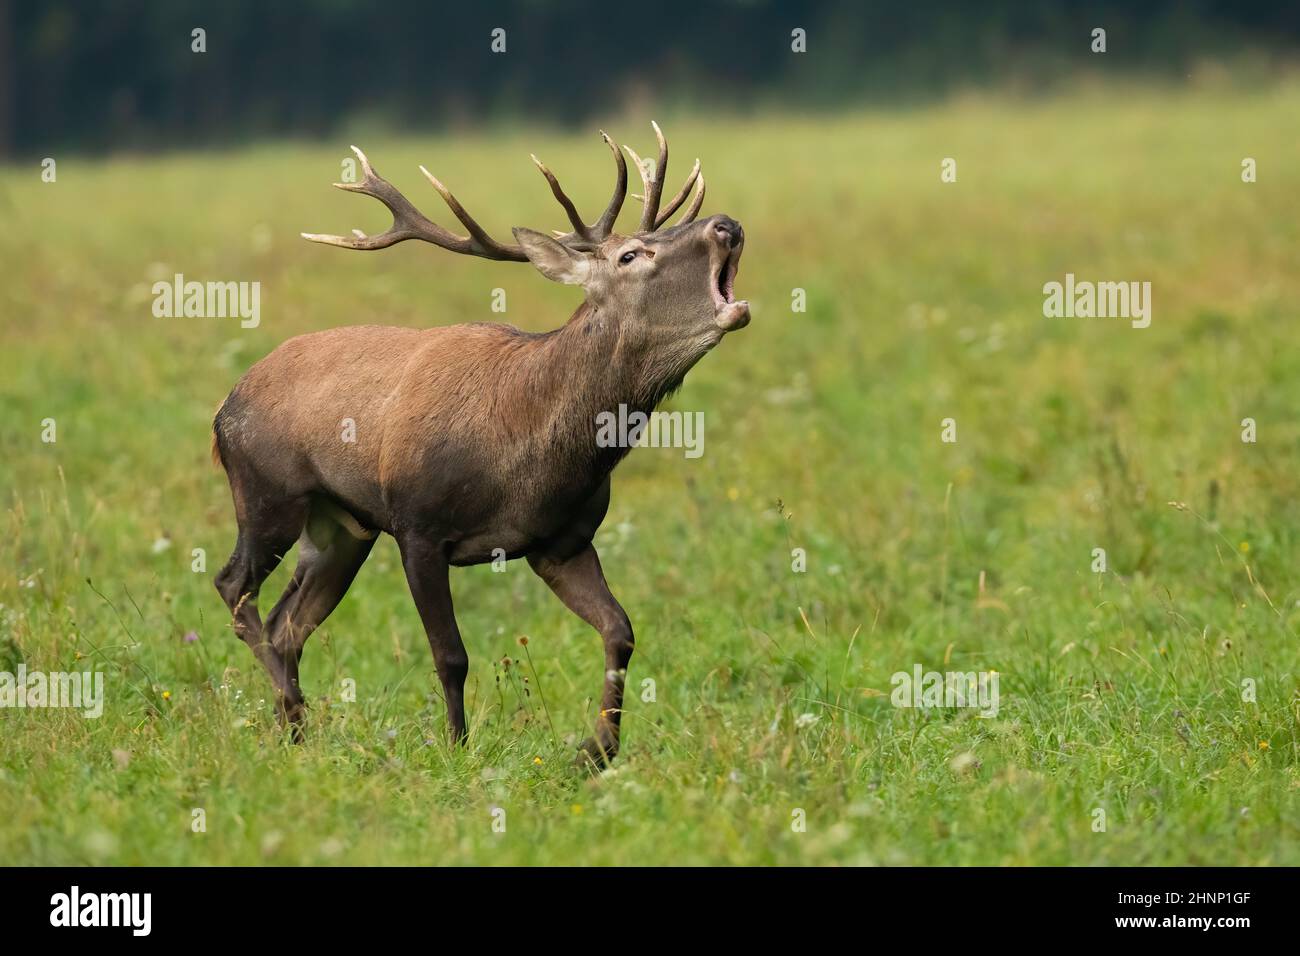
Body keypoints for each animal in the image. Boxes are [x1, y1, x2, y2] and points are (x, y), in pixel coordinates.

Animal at [211, 124, 748, 767]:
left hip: (342, 527)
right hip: (267, 492)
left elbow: (620, 630)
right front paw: (457, 748)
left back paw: (294, 733)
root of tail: (223, 409)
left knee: (287, 622)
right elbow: (452, 655)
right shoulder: (417, 526)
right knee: (235, 589)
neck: (528, 454)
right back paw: (295, 710)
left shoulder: (561, 541)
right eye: (630, 255)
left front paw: (598, 750)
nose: (726, 224)